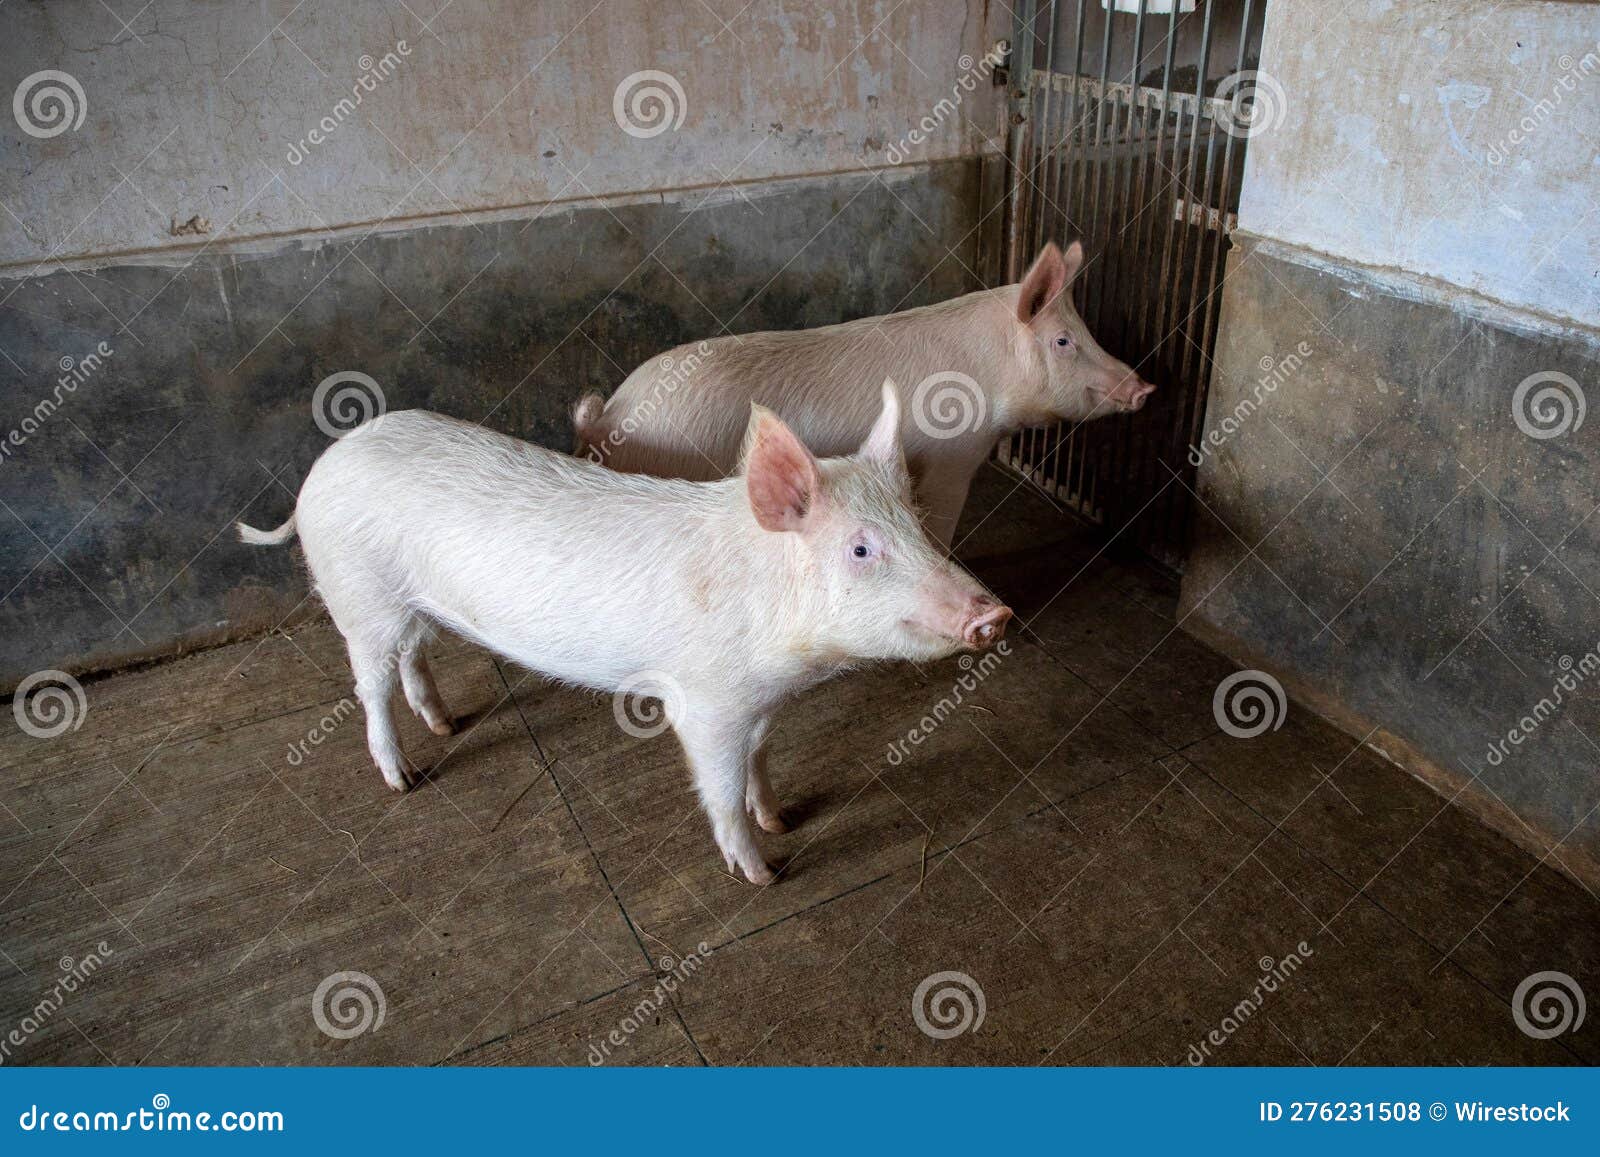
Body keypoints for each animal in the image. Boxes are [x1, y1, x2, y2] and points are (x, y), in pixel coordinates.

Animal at [236, 382, 1010, 884]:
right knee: (368, 684)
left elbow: (760, 760)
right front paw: (765, 871)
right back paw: (402, 779)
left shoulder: (757, 701)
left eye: (918, 528)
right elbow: (719, 785)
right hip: (358, 592)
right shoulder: (705, 701)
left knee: (411, 659)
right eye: (860, 549)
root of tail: (326, 463)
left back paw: (446, 724)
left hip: (411, 604)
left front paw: (780, 818)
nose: (994, 612)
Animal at [573, 241, 1156, 546]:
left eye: (1085, 330)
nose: (1146, 387)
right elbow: (941, 521)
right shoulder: (954, 455)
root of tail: (609, 416)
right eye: (1063, 341)